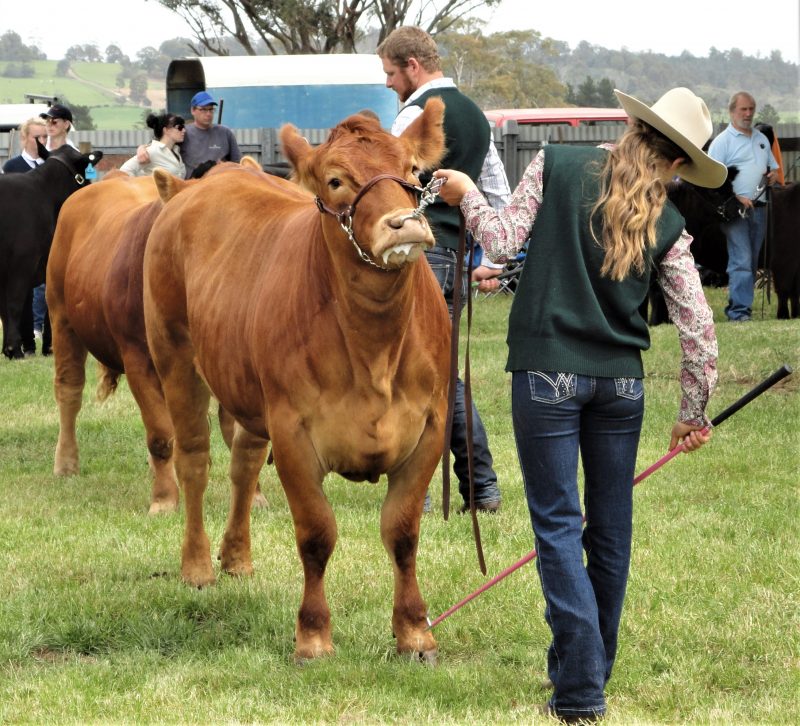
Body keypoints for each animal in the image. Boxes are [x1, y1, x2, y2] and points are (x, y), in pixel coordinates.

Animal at [47, 160, 269, 514]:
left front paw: (254, 496)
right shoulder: (138, 360)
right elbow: (161, 436)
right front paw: (164, 500)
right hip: (61, 317)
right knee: (69, 390)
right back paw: (66, 462)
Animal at [142, 101, 449, 662]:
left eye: (415, 172)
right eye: (335, 180)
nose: (405, 226)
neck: (374, 346)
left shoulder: (430, 428)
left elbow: (402, 533)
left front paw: (415, 631)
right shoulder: (292, 432)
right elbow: (316, 534)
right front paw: (312, 635)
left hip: (246, 390)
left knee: (243, 464)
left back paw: (236, 557)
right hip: (174, 357)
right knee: (194, 461)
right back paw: (196, 566)